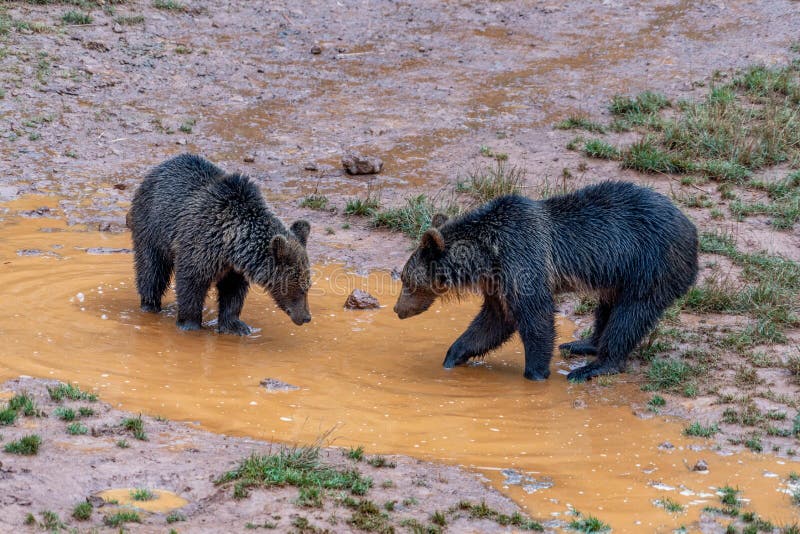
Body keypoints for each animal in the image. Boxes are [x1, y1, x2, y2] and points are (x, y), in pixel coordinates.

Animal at [128, 153, 312, 334]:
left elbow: (232, 293)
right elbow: (190, 282)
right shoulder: (200, 244)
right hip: (153, 227)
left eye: (308, 286)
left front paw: (235, 326)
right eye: (302, 288)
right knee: (151, 269)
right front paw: (190, 324)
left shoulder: (234, 269)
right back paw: (149, 304)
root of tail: (155, 170)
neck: (230, 244)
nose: (306, 317)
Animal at [393, 181, 698, 382]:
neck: (487, 254)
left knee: (631, 315)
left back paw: (593, 366)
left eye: (406, 280)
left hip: (650, 265)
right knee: (608, 308)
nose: (397, 309)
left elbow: (536, 317)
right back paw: (583, 344)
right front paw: (453, 355)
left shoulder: (522, 258)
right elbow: (494, 321)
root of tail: (691, 229)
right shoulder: (497, 281)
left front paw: (536, 373)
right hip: (620, 274)